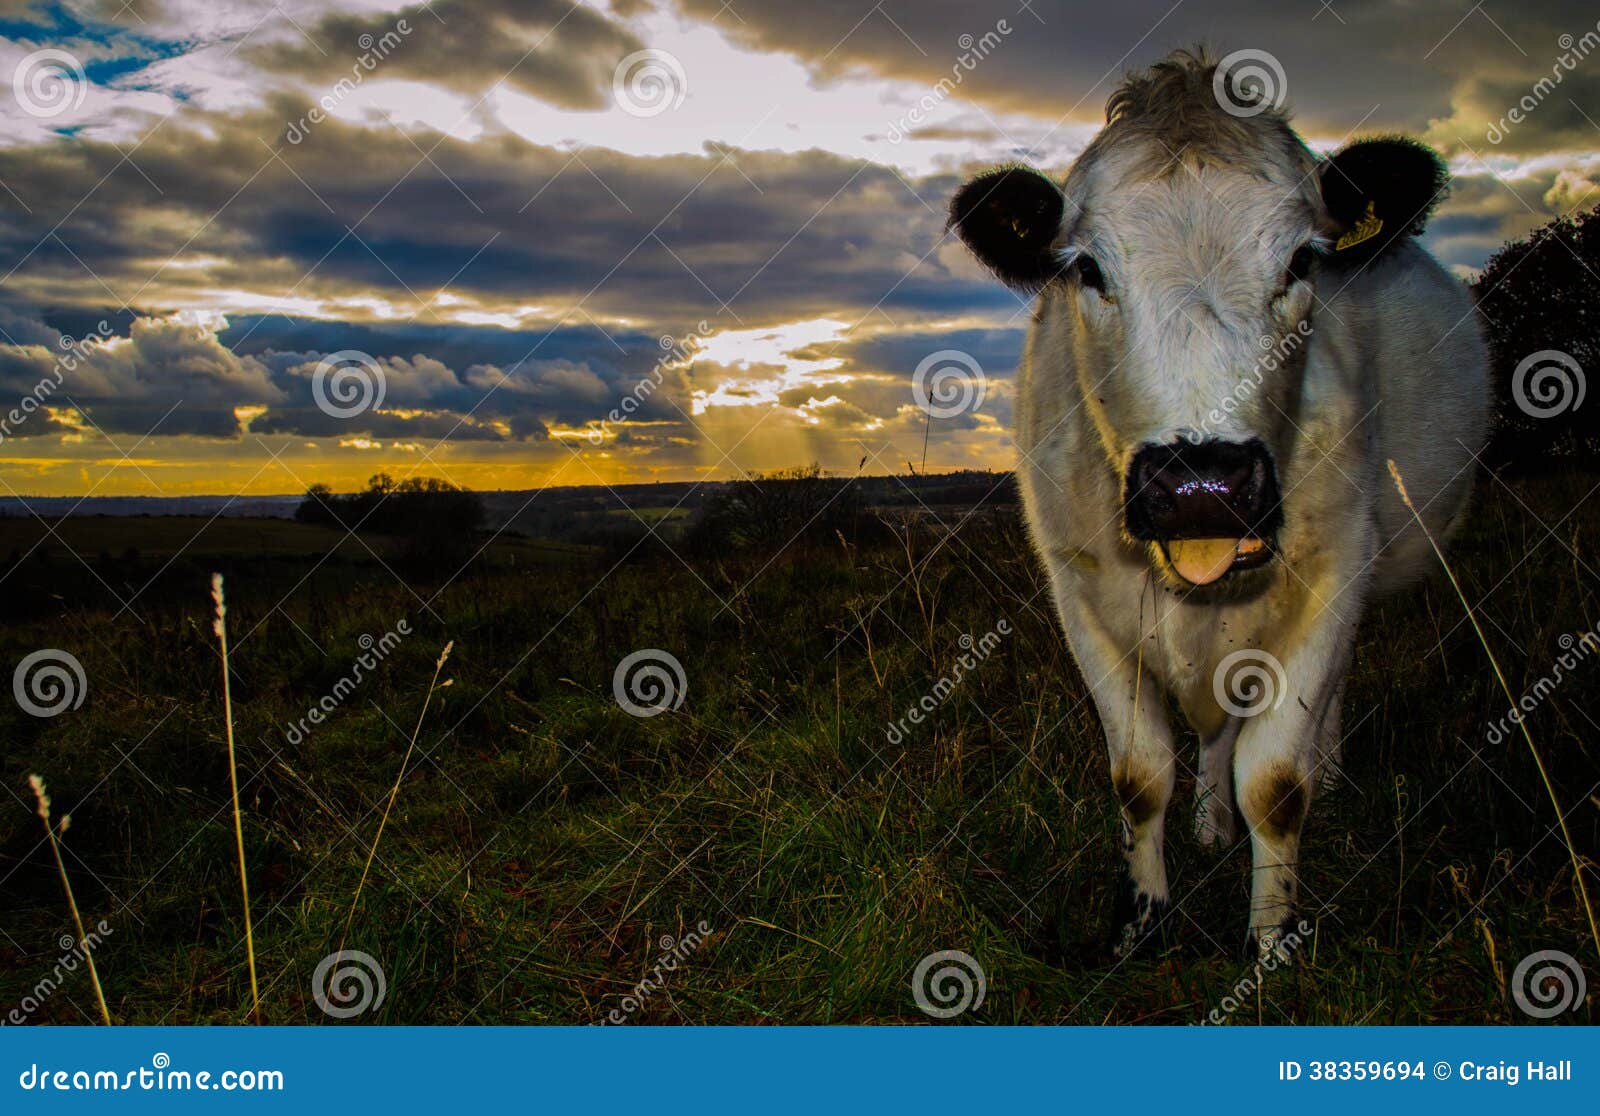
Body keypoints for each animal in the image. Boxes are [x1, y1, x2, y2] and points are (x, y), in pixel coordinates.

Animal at [949, 48, 1489, 959]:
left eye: (1303, 262)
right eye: (1087, 269)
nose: (1202, 483)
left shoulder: (1335, 571)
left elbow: (1274, 782)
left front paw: (1271, 941)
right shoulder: (1080, 593)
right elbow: (1140, 775)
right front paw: (1143, 916)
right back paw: (1208, 826)